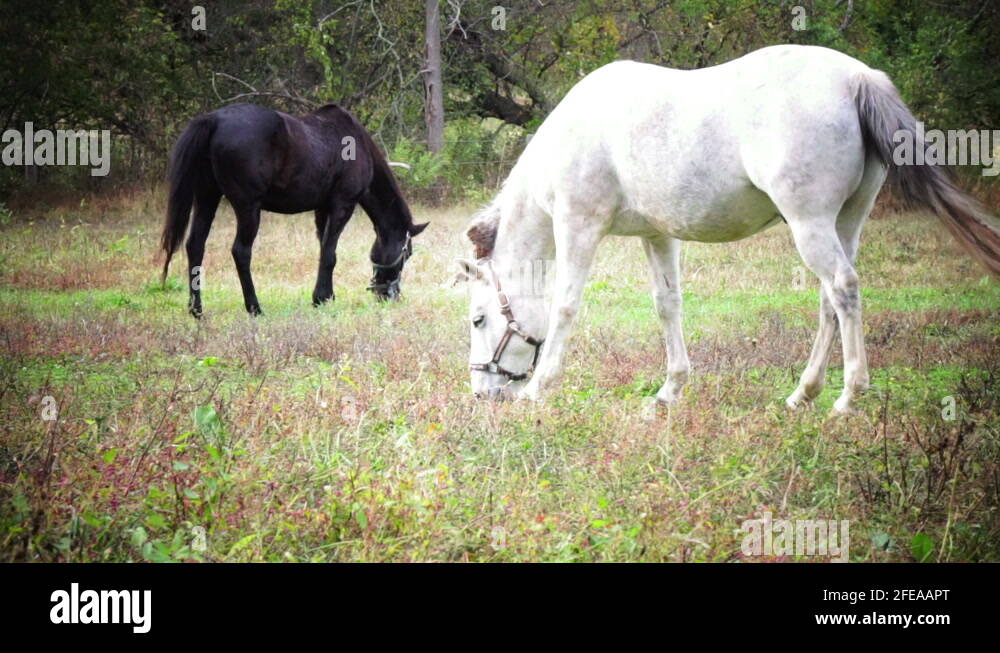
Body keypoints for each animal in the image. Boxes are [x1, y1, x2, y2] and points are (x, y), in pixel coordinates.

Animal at [160, 102, 428, 318]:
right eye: (407, 253)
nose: (389, 295)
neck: (356, 145)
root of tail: (214, 119)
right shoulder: (342, 205)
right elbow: (330, 254)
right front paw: (321, 298)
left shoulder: (322, 210)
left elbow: (324, 250)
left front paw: (326, 295)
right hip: (248, 208)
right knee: (241, 252)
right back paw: (254, 307)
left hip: (207, 198)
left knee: (195, 245)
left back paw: (197, 310)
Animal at [455, 45, 1000, 415]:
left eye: (479, 320)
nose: (483, 392)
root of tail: (856, 78)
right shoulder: (658, 236)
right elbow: (667, 306)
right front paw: (669, 391)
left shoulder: (578, 226)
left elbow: (565, 307)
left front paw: (539, 388)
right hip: (846, 222)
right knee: (831, 299)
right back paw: (803, 393)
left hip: (809, 223)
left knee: (843, 289)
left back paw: (847, 397)